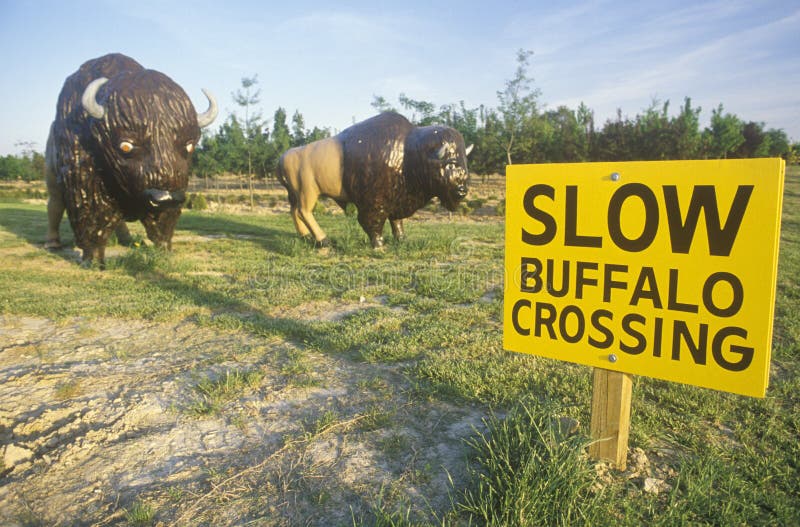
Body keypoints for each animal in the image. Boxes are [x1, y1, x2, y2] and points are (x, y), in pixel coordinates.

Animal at [45, 53, 218, 267]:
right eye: (126, 145)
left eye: (189, 145)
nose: (166, 197)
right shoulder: (83, 179)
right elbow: (93, 218)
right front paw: (93, 261)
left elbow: (161, 227)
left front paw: (165, 251)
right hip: (52, 177)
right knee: (54, 204)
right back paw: (52, 244)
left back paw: (127, 239)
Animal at [278, 112, 473, 248]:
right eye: (451, 163)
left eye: (466, 161)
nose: (462, 190)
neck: (409, 152)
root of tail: (284, 157)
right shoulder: (374, 203)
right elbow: (372, 222)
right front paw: (379, 245)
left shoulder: (397, 199)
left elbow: (396, 222)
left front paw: (402, 239)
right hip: (309, 192)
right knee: (304, 211)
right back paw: (323, 240)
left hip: (296, 193)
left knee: (294, 211)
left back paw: (305, 236)